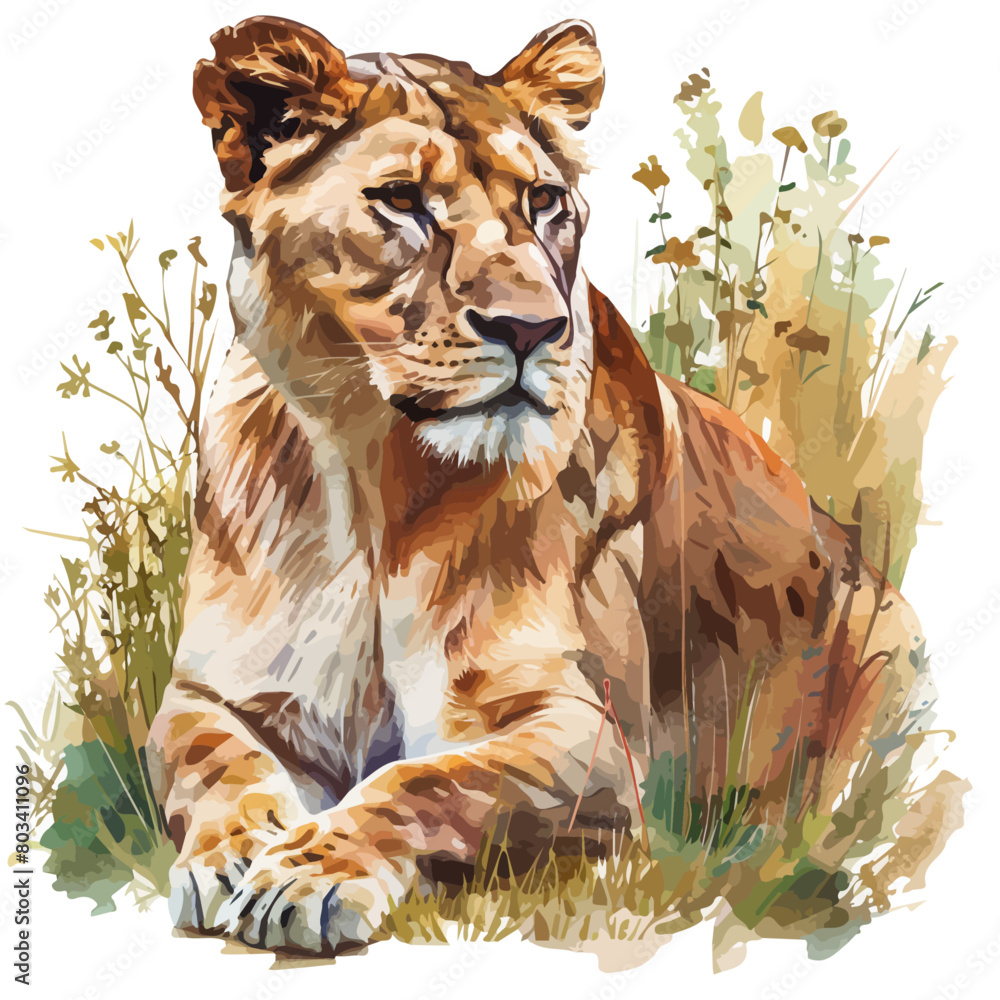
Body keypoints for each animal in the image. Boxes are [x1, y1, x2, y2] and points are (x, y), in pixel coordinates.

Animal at [146, 15, 927, 954]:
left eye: (545, 201)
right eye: (401, 200)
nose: (531, 328)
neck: (372, 487)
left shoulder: (589, 738)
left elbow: (427, 781)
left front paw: (308, 872)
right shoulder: (212, 693)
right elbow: (209, 760)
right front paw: (234, 852)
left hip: (894, 658)